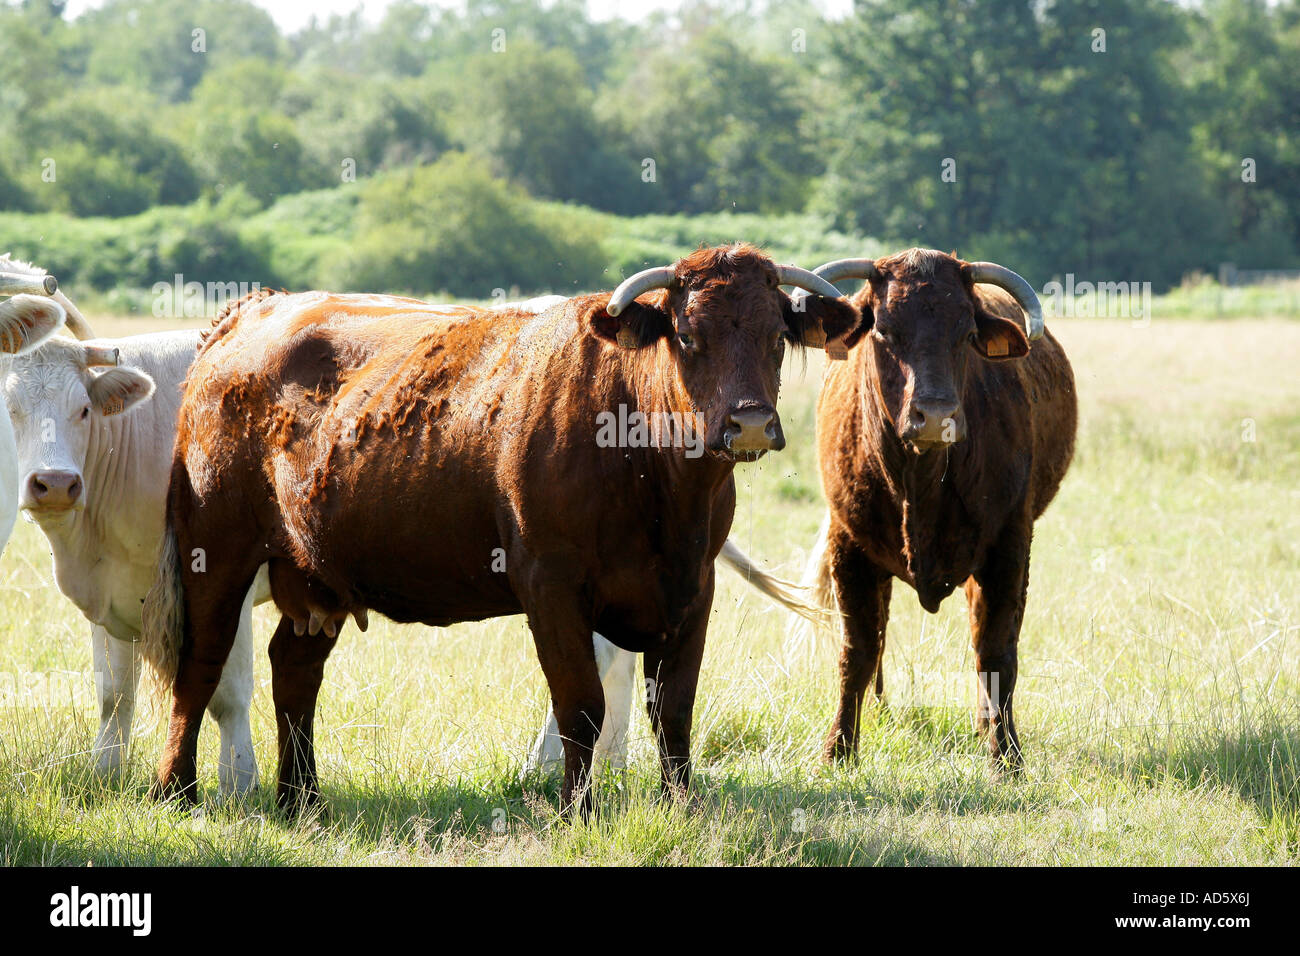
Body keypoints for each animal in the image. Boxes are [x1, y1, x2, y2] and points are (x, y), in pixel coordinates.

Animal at [3, 326, 267, 793]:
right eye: (9, 408)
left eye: (83, 410)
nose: (55, 484)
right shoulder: (110, 595)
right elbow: (114, 693)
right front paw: (106, 771)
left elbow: (230, 695)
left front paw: (238, 784)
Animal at [142, 244, 860, 816]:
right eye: (687, 338)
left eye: (777, 337)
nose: (749, 423)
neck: (657, 485)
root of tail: (254, 313)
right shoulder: (551, 585)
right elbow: (581, 706)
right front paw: (578, 812)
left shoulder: (692, 587)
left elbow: (674, 709)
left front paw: (680, 807)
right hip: (215, 549)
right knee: (200, 666)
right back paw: (175, 790)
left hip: (315, 571)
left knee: (294, 670)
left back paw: (303, 801)